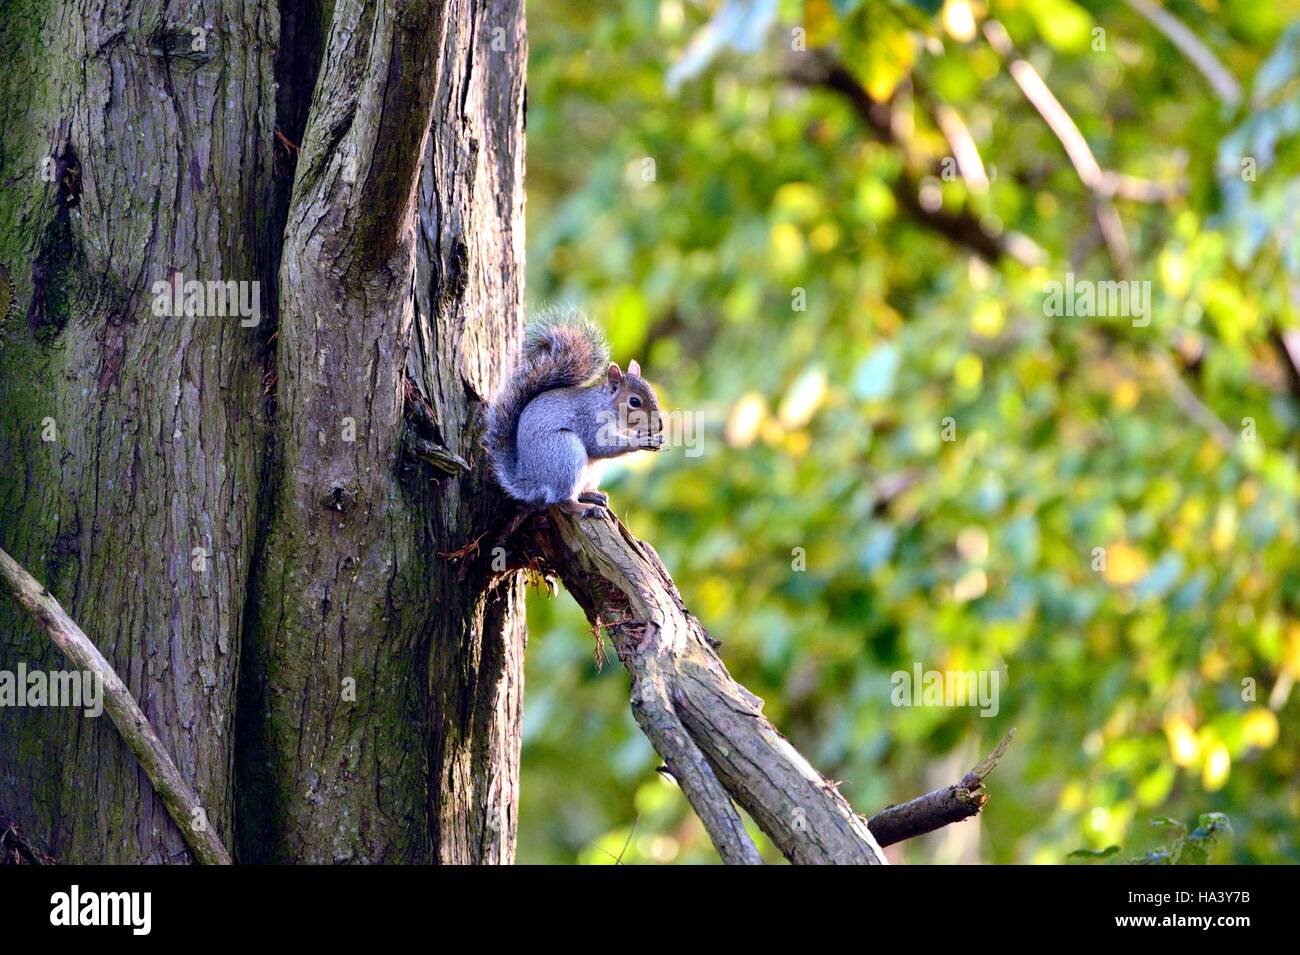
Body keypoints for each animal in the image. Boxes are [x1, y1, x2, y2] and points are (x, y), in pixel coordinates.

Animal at [486, 309, 665, 517]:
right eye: (634, 402)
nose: (660, 425)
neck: (605, 405)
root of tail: (528, 479)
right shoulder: (590, 421)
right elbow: (600, 446)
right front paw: (640, 441)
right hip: (564, 454)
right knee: (562, 501)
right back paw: (585, 507)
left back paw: (592, 495)